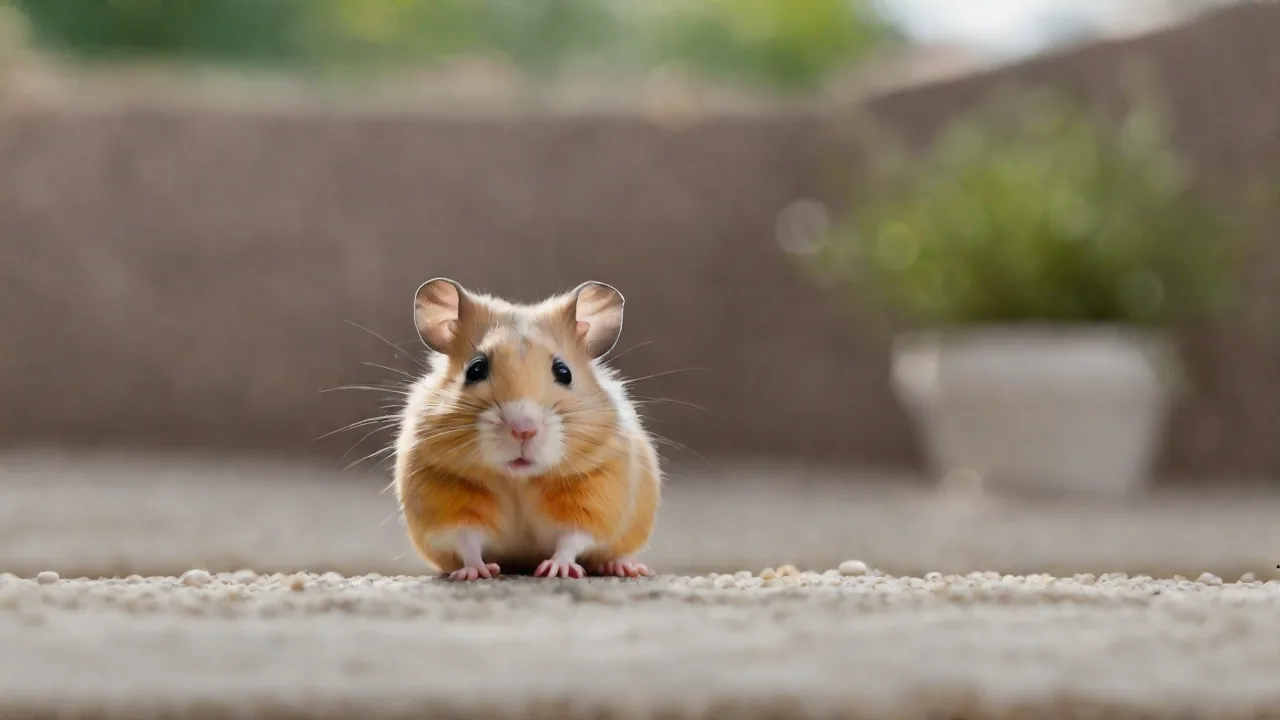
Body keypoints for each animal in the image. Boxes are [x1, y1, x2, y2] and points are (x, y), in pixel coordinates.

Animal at [392, 278, 662, 581]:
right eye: (475, 369)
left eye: (563, 371)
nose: (523, 430)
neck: (518, 480)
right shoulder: (445, 500)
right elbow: (466, 540)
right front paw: (476, 573)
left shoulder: (596, 494)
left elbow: (573, 538)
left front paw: (556, 570)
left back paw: (626, 568)